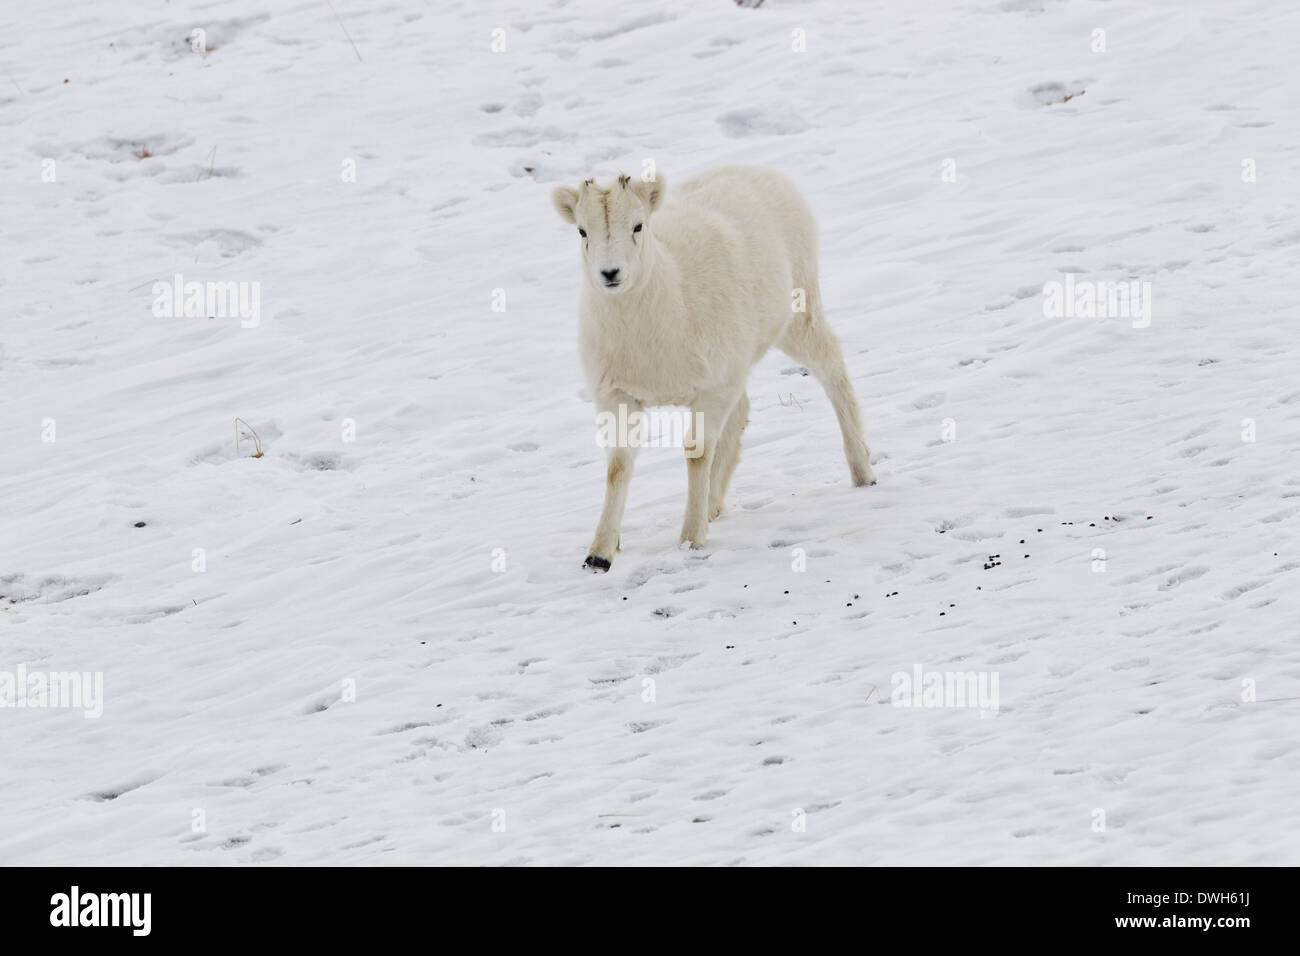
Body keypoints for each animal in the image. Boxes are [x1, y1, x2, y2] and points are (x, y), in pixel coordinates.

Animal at [551, 165, 876, 571]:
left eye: (639, 225)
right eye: (582, 231)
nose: (610, 274)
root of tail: (763, 172)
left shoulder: (710, 390)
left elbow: (697, 453)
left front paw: (691, 539)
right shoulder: (618, 396)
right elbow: (619, 466)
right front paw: (599, 555)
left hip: (797, 318)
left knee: (831, 368)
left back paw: (863, 473)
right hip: (739, 366)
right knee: (740, 414)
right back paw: (713, 507)